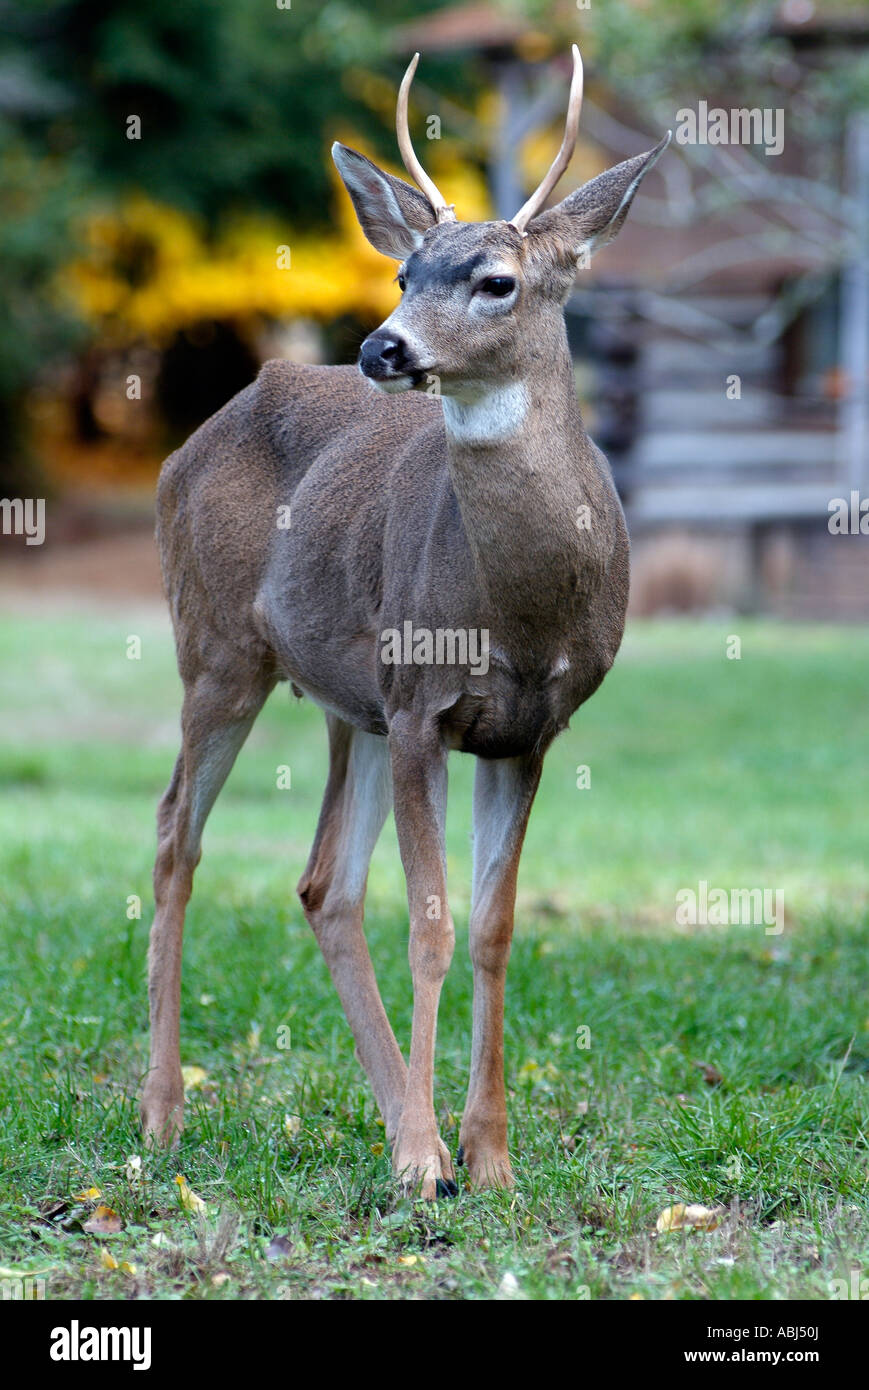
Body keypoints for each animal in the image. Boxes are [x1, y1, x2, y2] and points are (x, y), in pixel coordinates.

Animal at [141, 45, 669, 1198]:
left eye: (496, 280)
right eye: (401, 275)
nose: (382, 347)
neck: (519, 612)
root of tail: (185, 445)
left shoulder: (524, 731)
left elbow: (492, 928)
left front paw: (489, 1157)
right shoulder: (428, 706)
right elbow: (428, 923)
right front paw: (433, 1158)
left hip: (356, 705)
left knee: (323, 885)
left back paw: (390, 1122)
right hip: (218, 650)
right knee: (173, 837)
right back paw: (163, 1116)